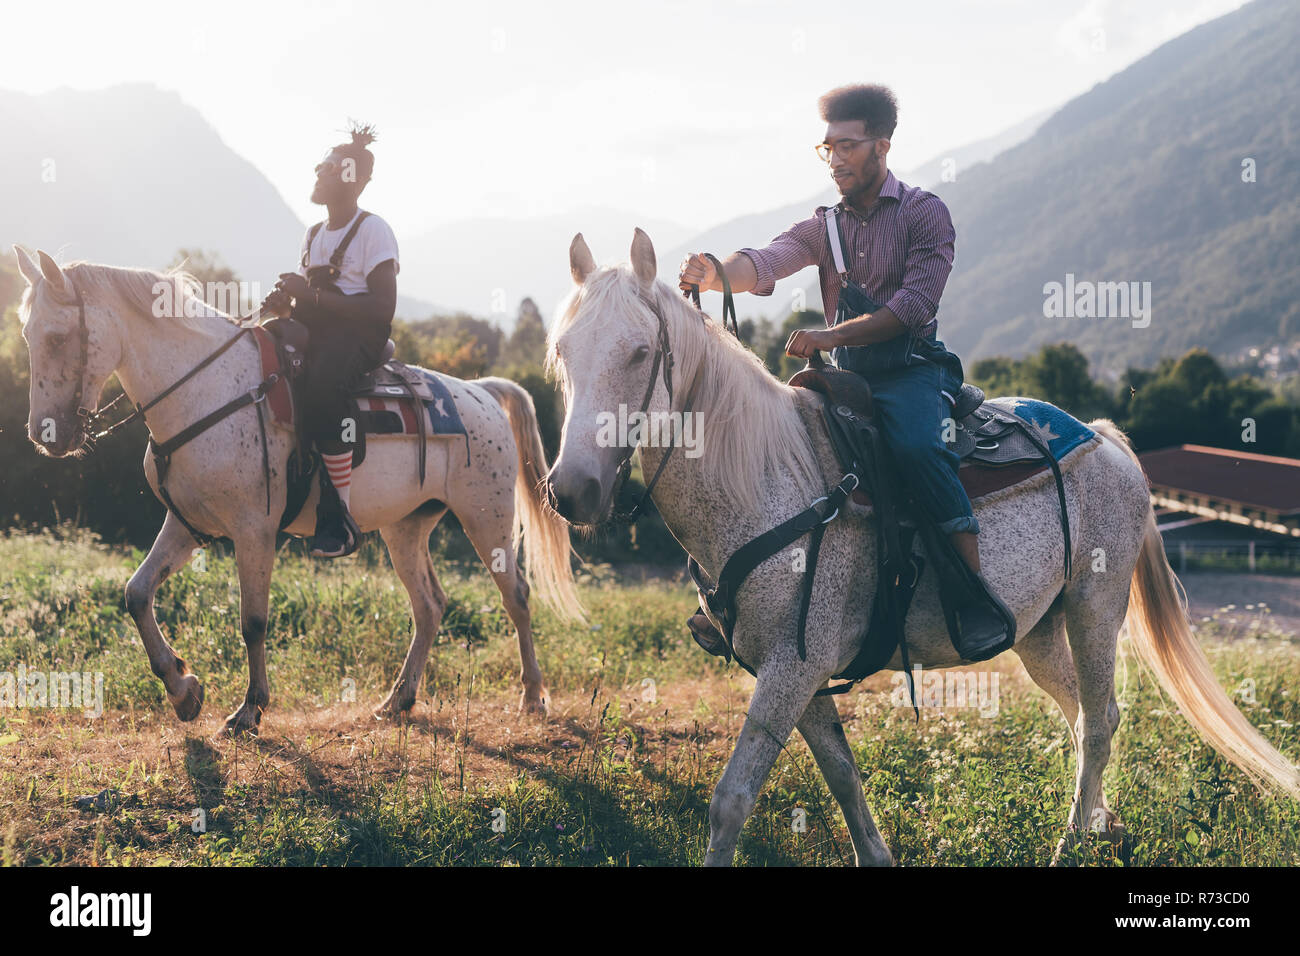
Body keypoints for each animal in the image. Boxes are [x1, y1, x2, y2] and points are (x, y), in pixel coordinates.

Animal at [14, 246, 582, 736]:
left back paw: (532, 697)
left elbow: (253, 621)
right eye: (26, 333)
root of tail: (481, 390)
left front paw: (249, 709)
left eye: (58, 337)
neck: (207, 390)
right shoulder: (188, 524)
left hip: (486, 518)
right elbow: (137, 593)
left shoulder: (253, 531)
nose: (45, 435)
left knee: (516, 596)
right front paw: (183, 689)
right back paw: (397, 701)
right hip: (406, 528)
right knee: (429, 606)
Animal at [544, 228, 1300, 866]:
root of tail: (1107, 440)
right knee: (1083, 714)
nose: (571, 489)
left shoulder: (791, 668)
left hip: (1094, 607)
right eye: (562, 354)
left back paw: (1070, 845)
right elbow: (844, 777)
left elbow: (731, 800)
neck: (769, 483)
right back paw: (1100, 826)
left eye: (641, 353)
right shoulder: (797, 674)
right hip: (1038, 629)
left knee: (1100, 719)